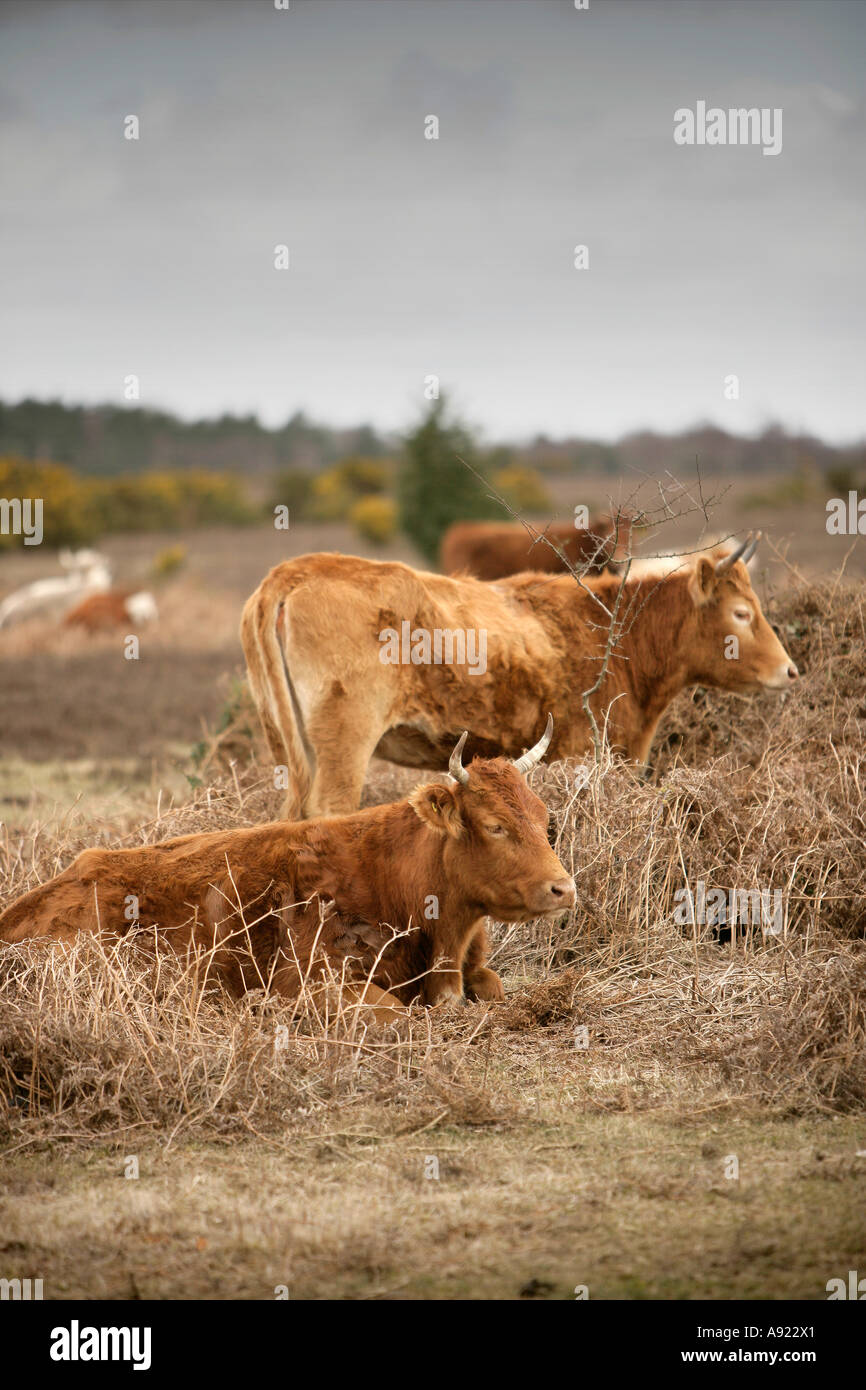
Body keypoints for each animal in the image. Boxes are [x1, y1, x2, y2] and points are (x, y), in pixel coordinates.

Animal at [0, 728, 573, 1017]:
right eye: (495, 826)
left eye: (545, 817)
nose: (563, 889)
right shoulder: (309, 978)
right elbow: (392, 1012)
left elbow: (492, 987)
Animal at [240, 533, 798, 820]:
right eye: (742, 613)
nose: (790, 670)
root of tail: (296, 571)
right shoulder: (589, 753)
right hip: (344, 745)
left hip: (288, 744)